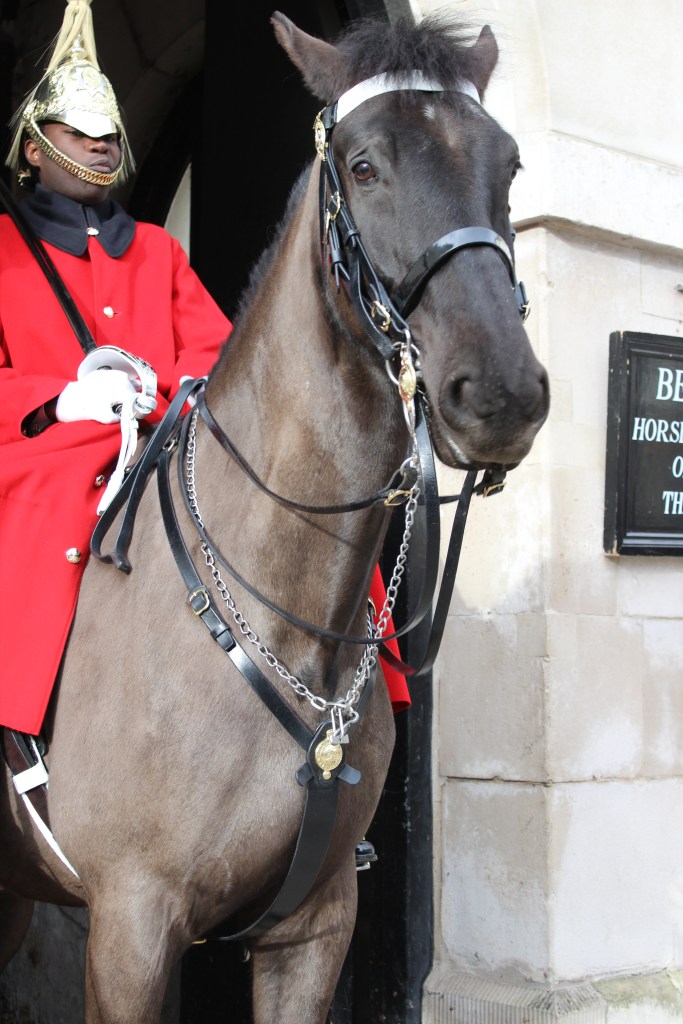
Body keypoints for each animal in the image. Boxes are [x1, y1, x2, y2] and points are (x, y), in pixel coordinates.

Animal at [0, 10, 549, 1023]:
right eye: (364, 164)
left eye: (509, 162)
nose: (500, 394)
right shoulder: (129, 927)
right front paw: (104, 391)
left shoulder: (313, 929)